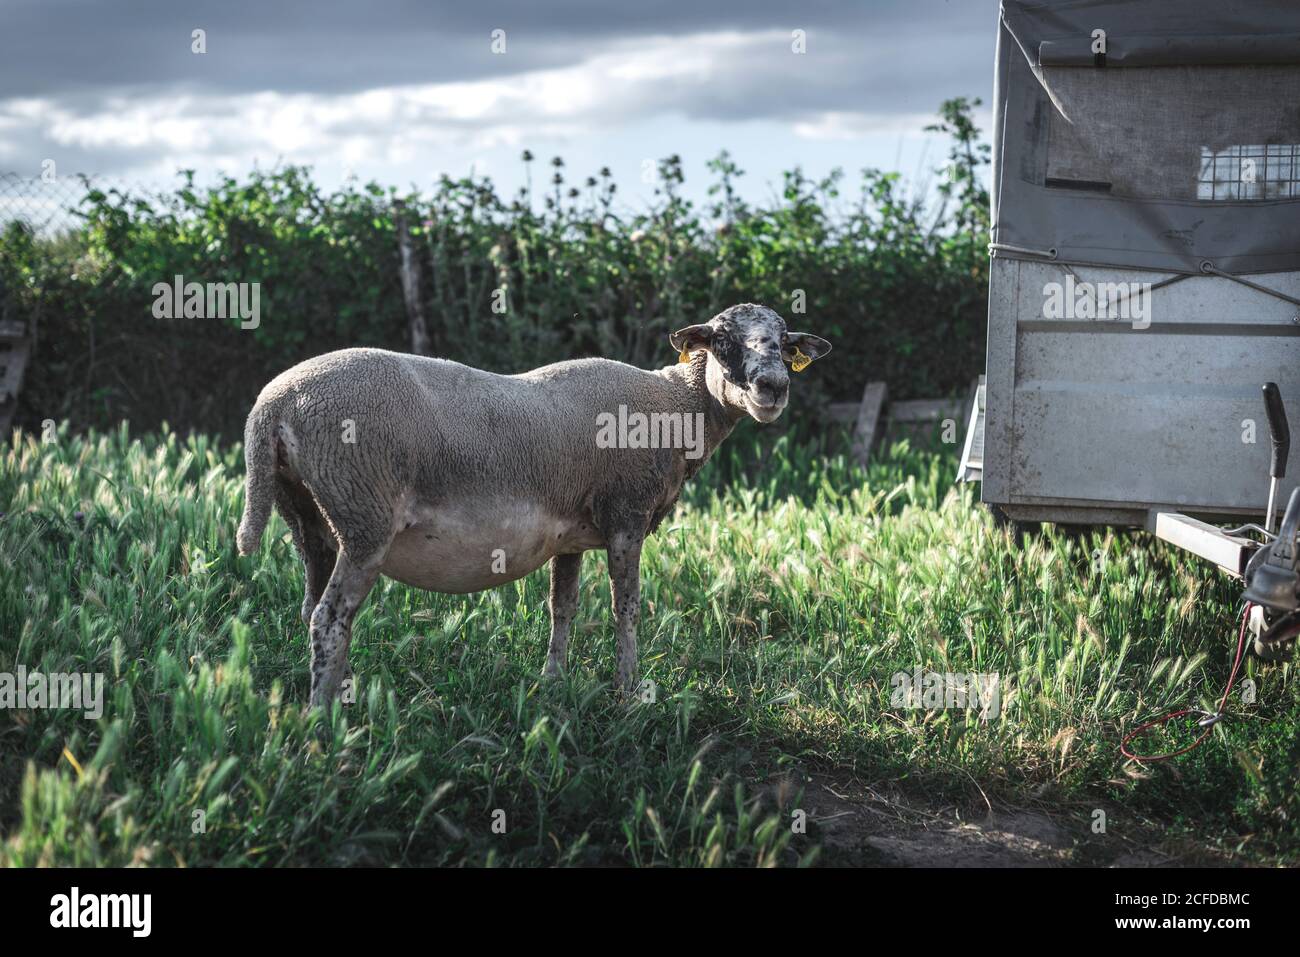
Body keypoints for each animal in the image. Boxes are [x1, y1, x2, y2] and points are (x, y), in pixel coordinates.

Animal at [237, 303, 831, 705]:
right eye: (723, 341)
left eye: (784, 343)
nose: (773, 387)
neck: (677, 406)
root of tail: (272, 405)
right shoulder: (626, 514)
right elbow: (626, 606)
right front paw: (628, 690)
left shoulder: (571, 534)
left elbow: (561, 606)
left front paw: (553, 683)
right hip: (365, 518)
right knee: (330, 618)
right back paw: (323, 723)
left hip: (310, 515)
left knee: (312, 609)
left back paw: (331, 695)